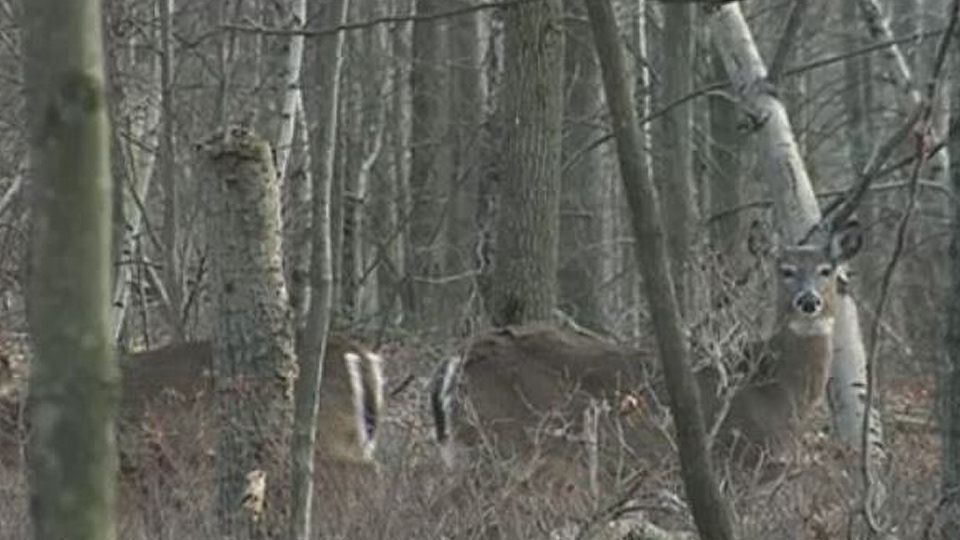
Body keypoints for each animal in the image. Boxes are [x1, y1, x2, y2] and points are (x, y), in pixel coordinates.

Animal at [430, 222, 863, 488]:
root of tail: (455, 362)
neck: (776, 389)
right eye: (785, 271)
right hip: (508, 442)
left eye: (826, 270)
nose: (808, 301)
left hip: (465, 450)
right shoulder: (746, 463)